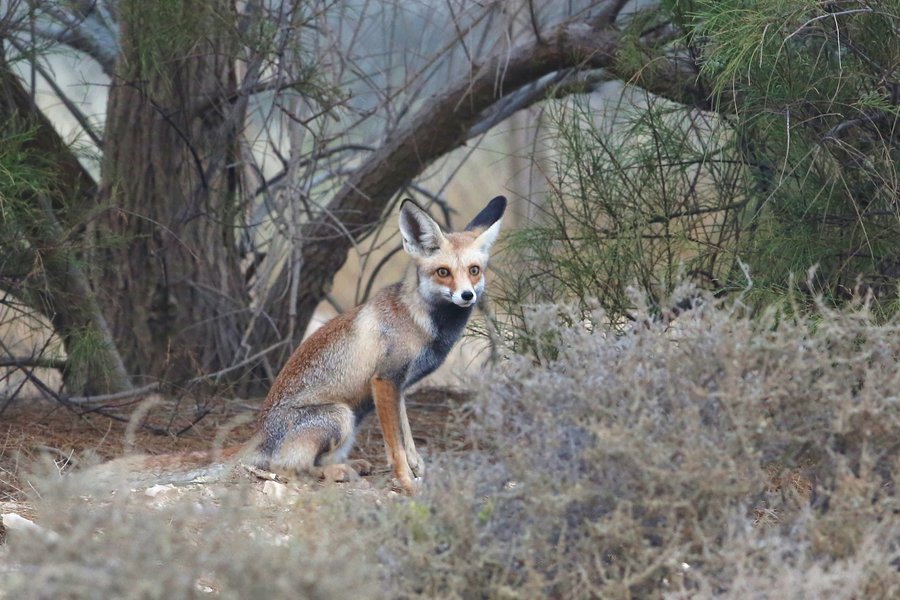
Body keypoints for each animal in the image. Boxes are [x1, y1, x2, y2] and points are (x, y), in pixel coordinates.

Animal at [88, 196, 506, 494]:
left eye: (474, 271)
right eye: (443, 272)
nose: (467, 296)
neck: (421, 321)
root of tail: (260, 433)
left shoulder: (398, 386)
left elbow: (408, 440)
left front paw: (419, 472)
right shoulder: (385, 380)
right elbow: (397, 447)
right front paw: (405, 483)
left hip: (352, 418)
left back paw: (346, 467)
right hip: (340, 415)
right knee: (287, 469)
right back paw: (333, 472)